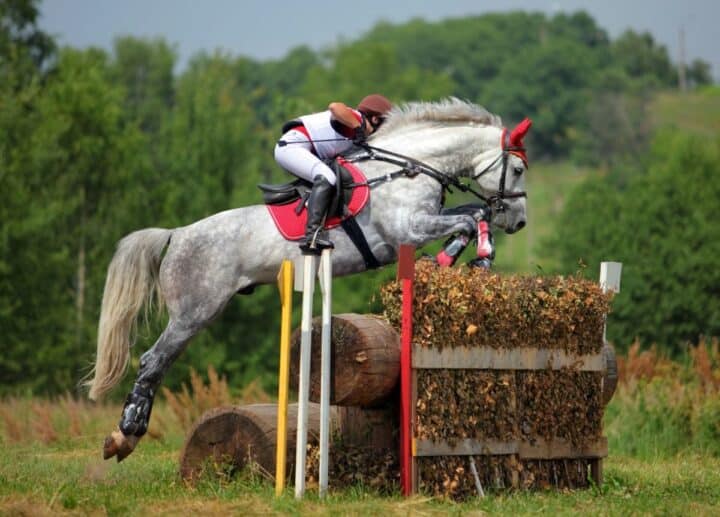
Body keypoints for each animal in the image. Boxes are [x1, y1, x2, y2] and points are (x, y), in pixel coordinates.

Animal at [89, 98, 532, 461]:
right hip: (194, 312)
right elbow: (470, 217)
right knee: (153, 360)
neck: (409, 168)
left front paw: (467, 257)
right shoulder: (406, 229)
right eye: (518, 169)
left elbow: (472, 211)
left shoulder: (423, 222)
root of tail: (177, 234)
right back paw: (124, 436)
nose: (520, 222)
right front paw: (461, 256)